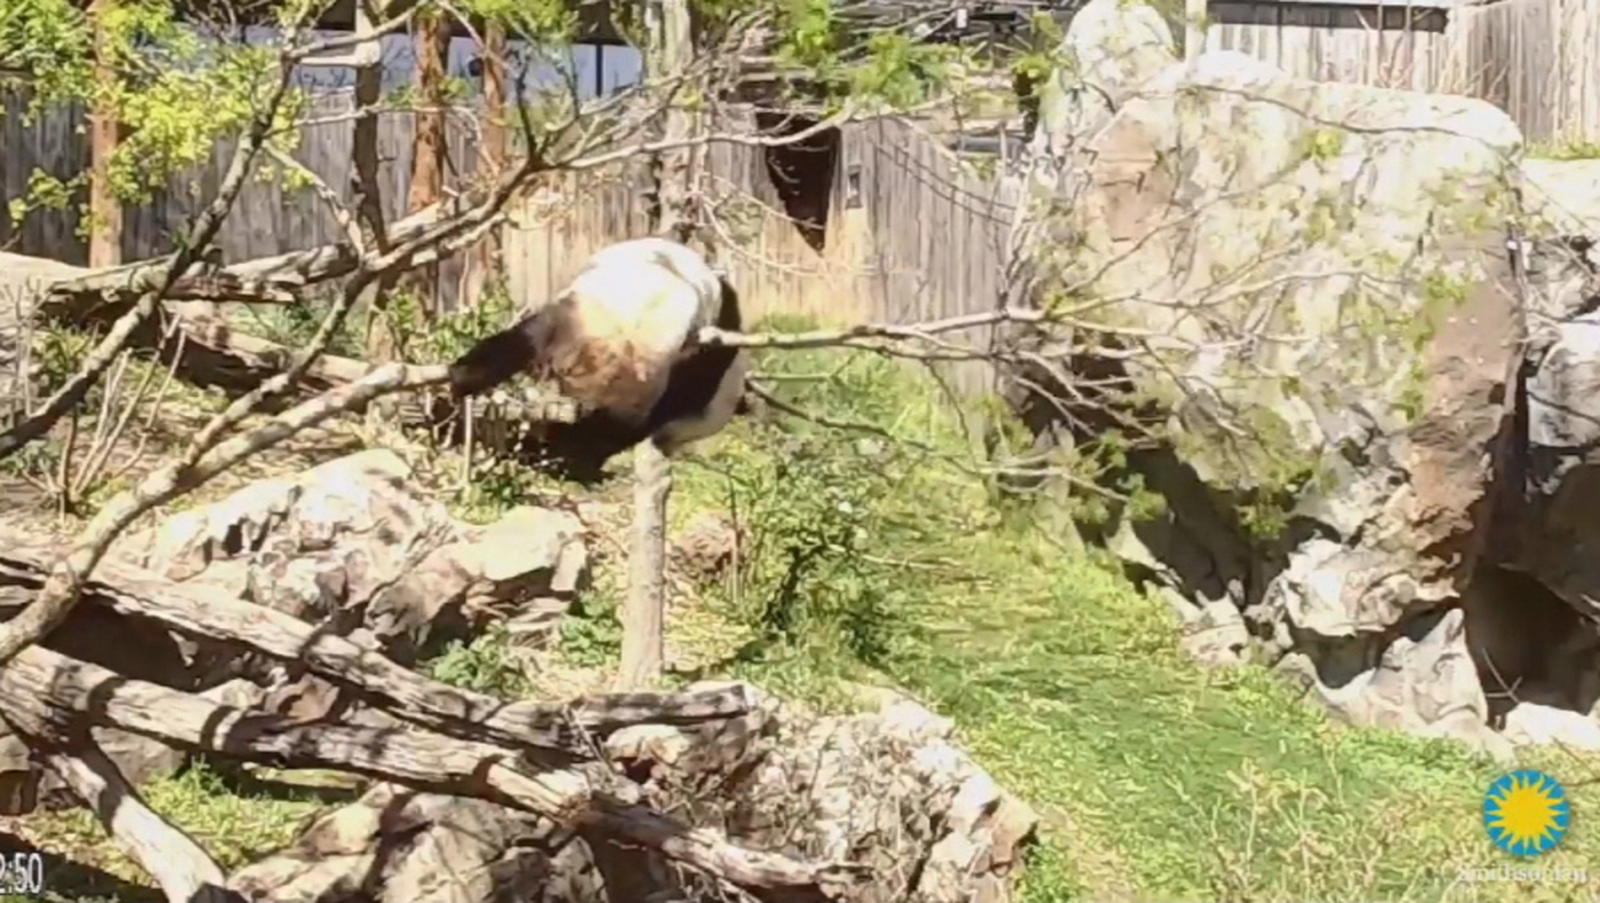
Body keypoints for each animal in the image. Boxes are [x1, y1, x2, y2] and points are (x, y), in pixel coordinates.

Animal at [446, 237, 752, 481]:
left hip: (571, 316)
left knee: (519, 341)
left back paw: (465, 380)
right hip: (640, 373)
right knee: (617, 424)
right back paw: (568, 457)